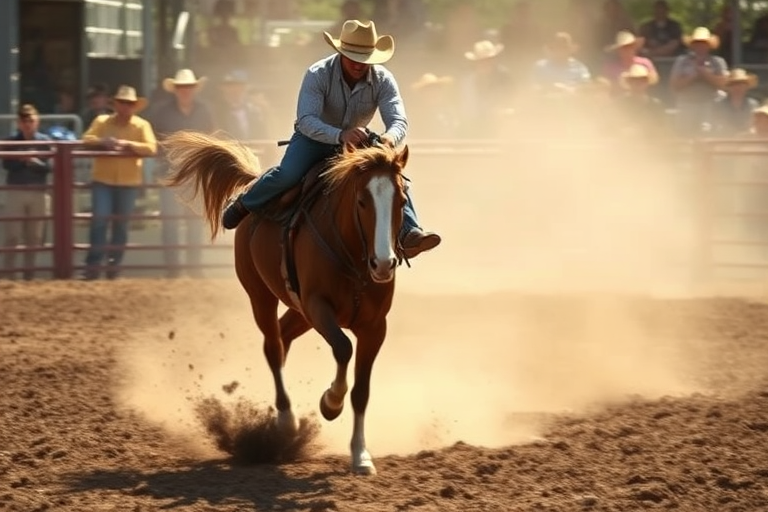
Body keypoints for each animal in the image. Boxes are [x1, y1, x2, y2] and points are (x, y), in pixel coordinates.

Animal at [162, 131, 410, 475]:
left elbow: (361, 392)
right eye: (362, 200)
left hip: (299, 311)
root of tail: (252, 187)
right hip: (261, 296)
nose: (384, 264)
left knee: (283, 336)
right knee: (273, 346)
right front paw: (330, 403)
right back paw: (286, 421)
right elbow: (343, 348)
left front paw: (361, 456)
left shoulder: (374, 327)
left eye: (402, 200)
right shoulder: (318, 307)